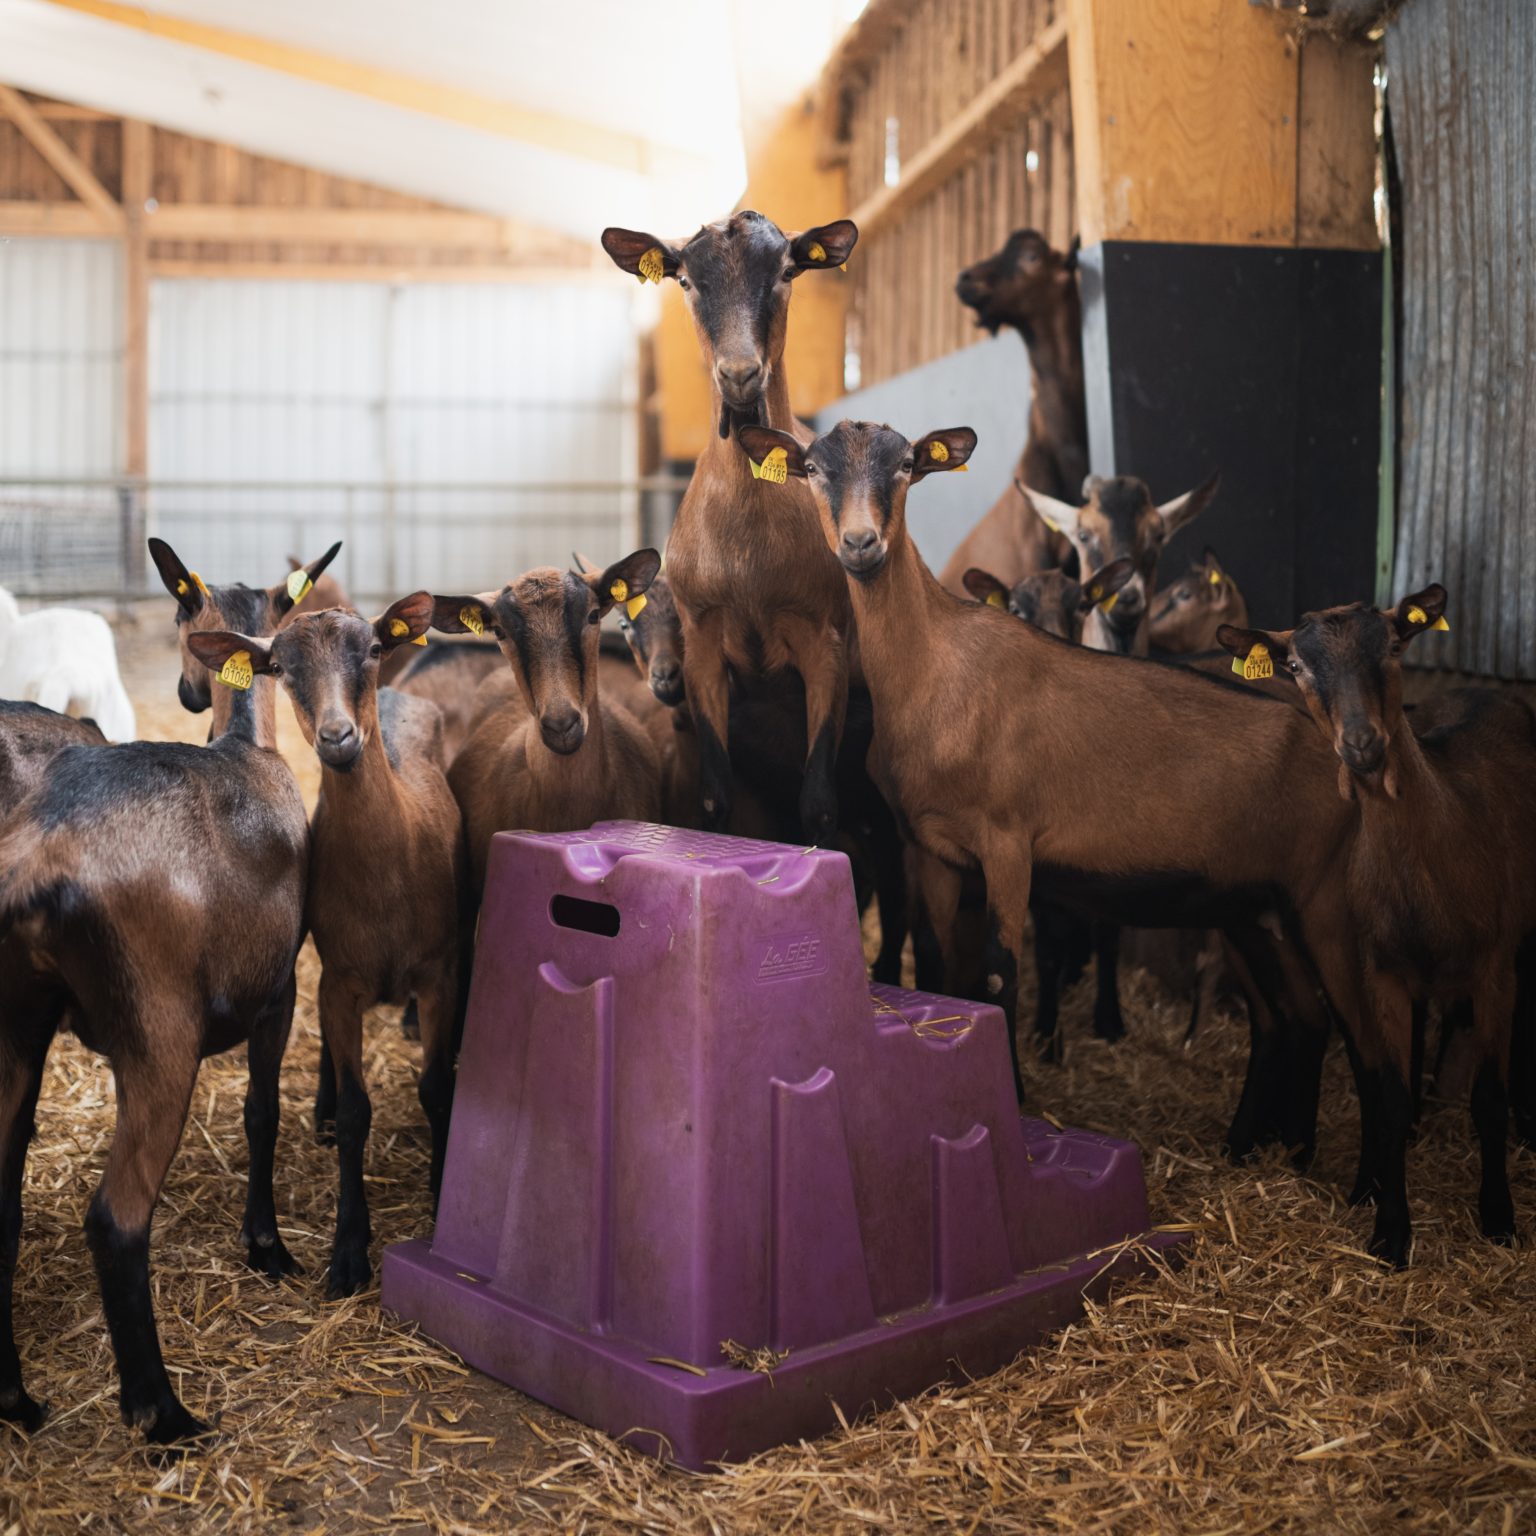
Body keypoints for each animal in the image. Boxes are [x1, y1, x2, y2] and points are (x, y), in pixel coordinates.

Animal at [190, 597, 465, 1298]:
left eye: (372, 649)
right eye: (282, 669)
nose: (337, 738)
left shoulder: (440, 974)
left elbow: (435, 1089)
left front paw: (441, 1196)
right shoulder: (340, 980)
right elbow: (356, 1111)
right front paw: (347, 1255)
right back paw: (321, 1106)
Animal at [601, 211, 858, 839]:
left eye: (788, 270)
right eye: (686, 280)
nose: (740, 374)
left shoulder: (825, 644)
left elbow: (819, 804)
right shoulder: (702, 646)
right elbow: (715, 797)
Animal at [739, 419, 1370, 1195]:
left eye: (907, 466)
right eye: (816, 471)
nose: (861, 545)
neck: (935, 669)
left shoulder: (1009, 843)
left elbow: (1001, 973)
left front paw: (1016, 1098)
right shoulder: (933, 849)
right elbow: (944, 965)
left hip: (1321, 898)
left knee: (1360, 1032)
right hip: (1257, 906)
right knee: (1297, 1017)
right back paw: (1272, 1147)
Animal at [1219, 591, 1536, 1260]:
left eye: (1393, 645)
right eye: (1294, 667)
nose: (1361, 744)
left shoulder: (1494, 968)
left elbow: (1488, 1099)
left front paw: (1499, 1219)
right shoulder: (1382, 971)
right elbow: (1388, 1097)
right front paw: (1390, 1232)